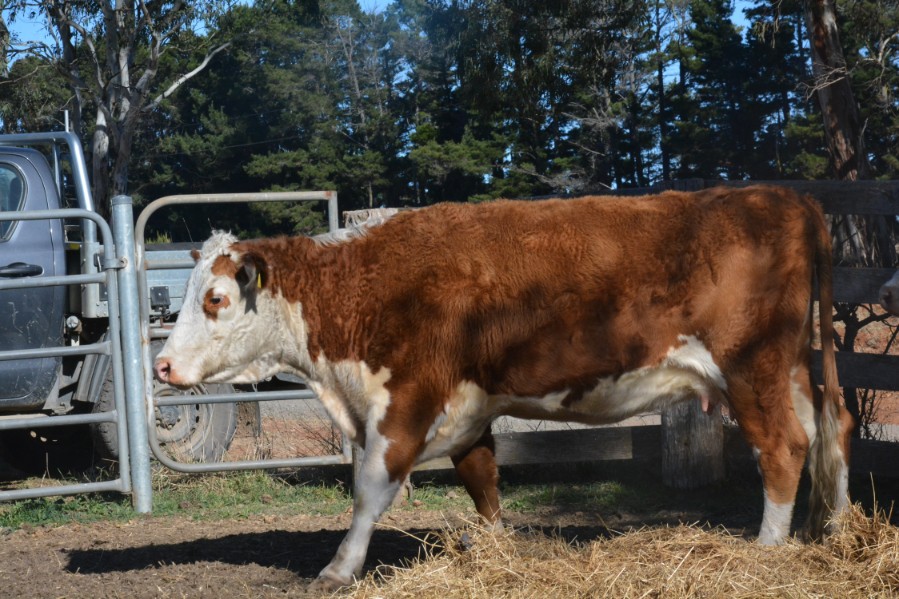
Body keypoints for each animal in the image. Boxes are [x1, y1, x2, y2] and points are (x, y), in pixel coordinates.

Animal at [154, 185, 853, 591]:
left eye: (215, 299)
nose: (161, 367)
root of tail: (781, 196)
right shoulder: (468, 406)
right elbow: (482, 478)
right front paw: (494, 548)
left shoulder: (406, 399)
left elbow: (371, 488)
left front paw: (339, 568)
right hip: (792, 367)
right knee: (832, 430)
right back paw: (840, 530)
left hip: (751, 366)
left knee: (784, 447)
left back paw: (767, 550)